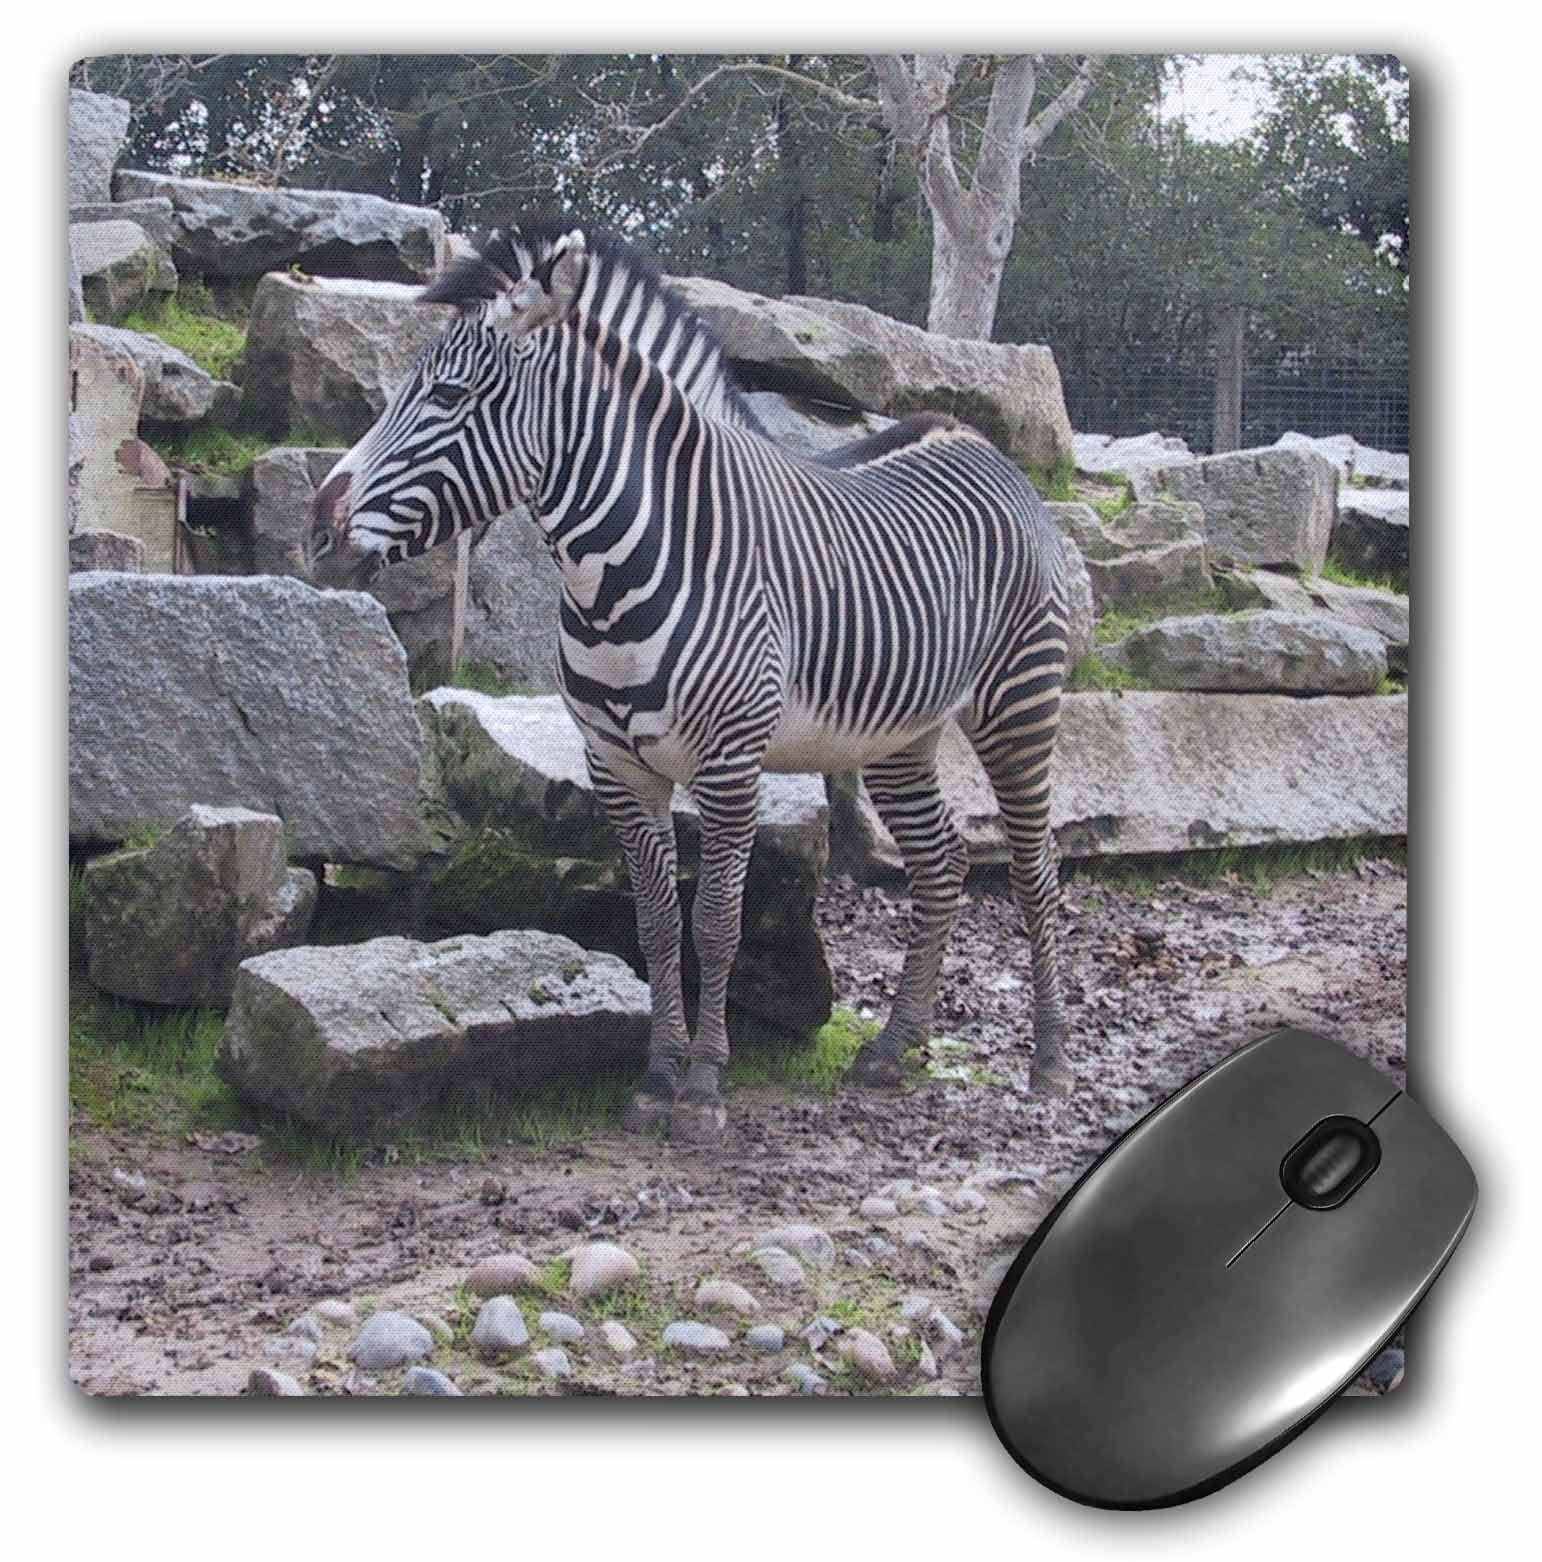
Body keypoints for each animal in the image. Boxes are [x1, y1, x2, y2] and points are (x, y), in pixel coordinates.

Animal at [306, 223, 1073, 1145]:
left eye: (449, 396)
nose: (316, 527)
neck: (611, 573)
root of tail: (972, 435)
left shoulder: (730, 763)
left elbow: (717, 921)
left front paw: (705, 1087)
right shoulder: (615, 766)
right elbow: (657, 924)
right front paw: (657, 1077)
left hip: (1018, 702)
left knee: (1034, 864)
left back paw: (1050, 1059)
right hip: (899, 733)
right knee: (942, 864)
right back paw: (896, 1049)